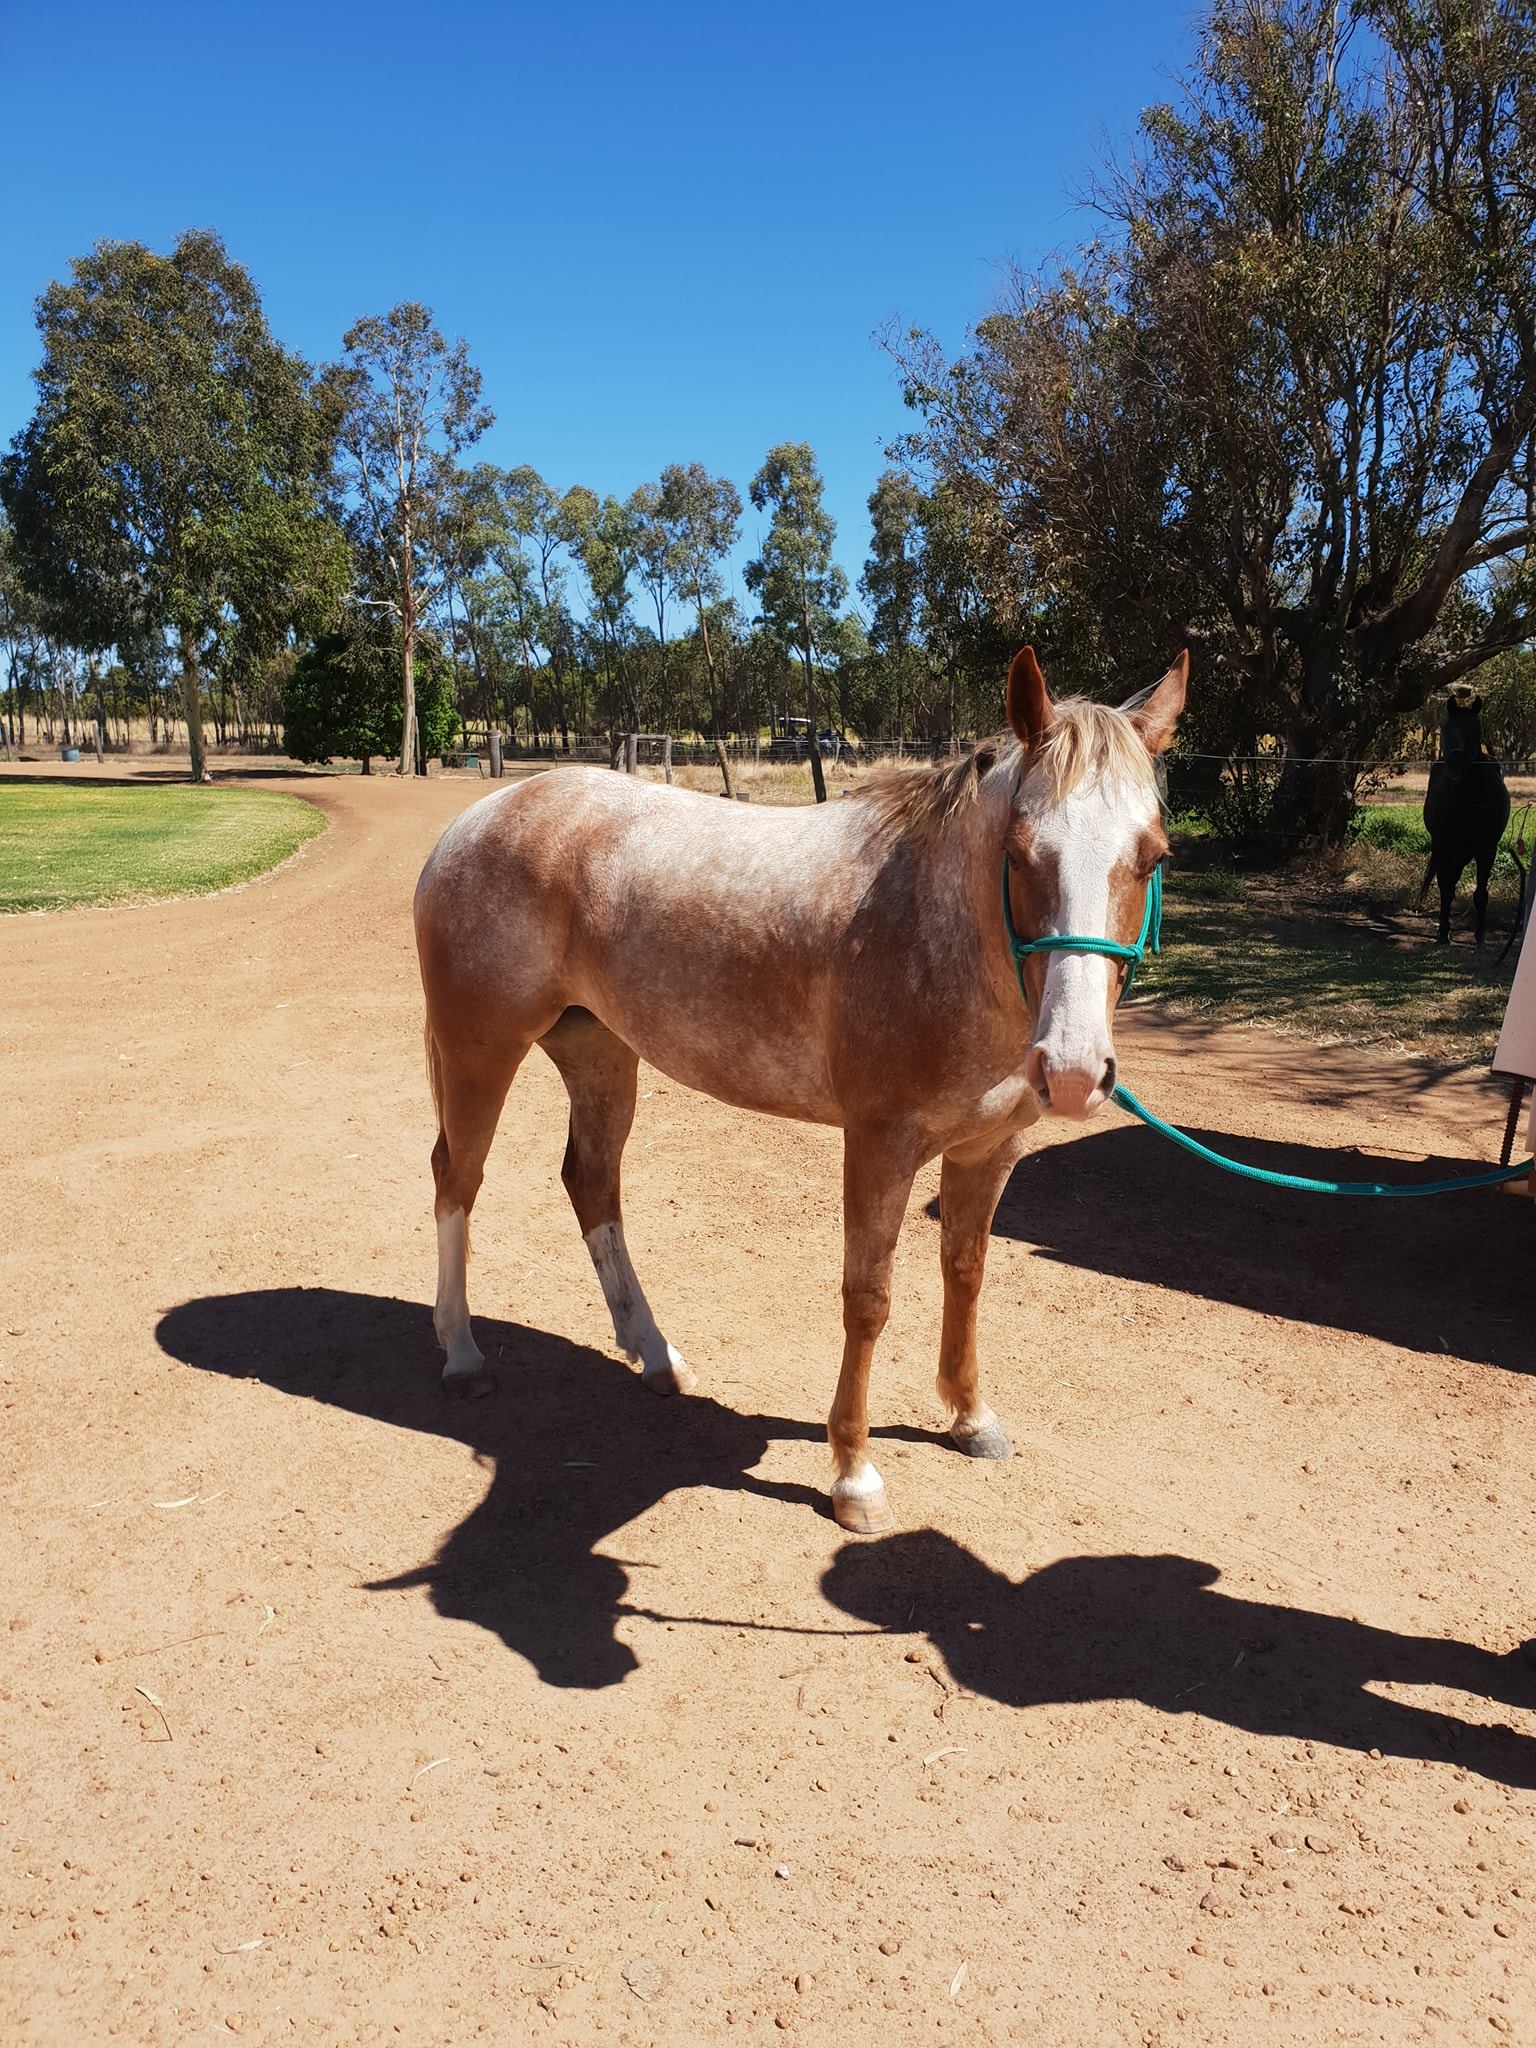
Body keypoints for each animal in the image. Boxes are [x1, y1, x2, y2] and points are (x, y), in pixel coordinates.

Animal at [413, 646, 1187, 1534]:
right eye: (1021, 852)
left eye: (1154, 856)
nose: (1072, 1070)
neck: (937, 934)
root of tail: (480, 817)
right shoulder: (880, 1147)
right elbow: (868, 1299)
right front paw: (853, 1474)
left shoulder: (991, 1150)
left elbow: (966, 1272)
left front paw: (969, 1417)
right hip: (481, 1052)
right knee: (457, 1181)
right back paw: (463, 1355)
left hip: (600, 1055)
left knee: (591, 1181)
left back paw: (655, 1353)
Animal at [1421, 691, 1510, 945]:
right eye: (1446, 729)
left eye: (1476, 731)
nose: (1455, 765)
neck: (1467, 799)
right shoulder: (1444, 845)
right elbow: (1446, 888)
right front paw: (1443, 932)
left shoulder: (1487, 849)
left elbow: (1480, 894)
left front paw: (1479, 937)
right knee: (1447, 882)